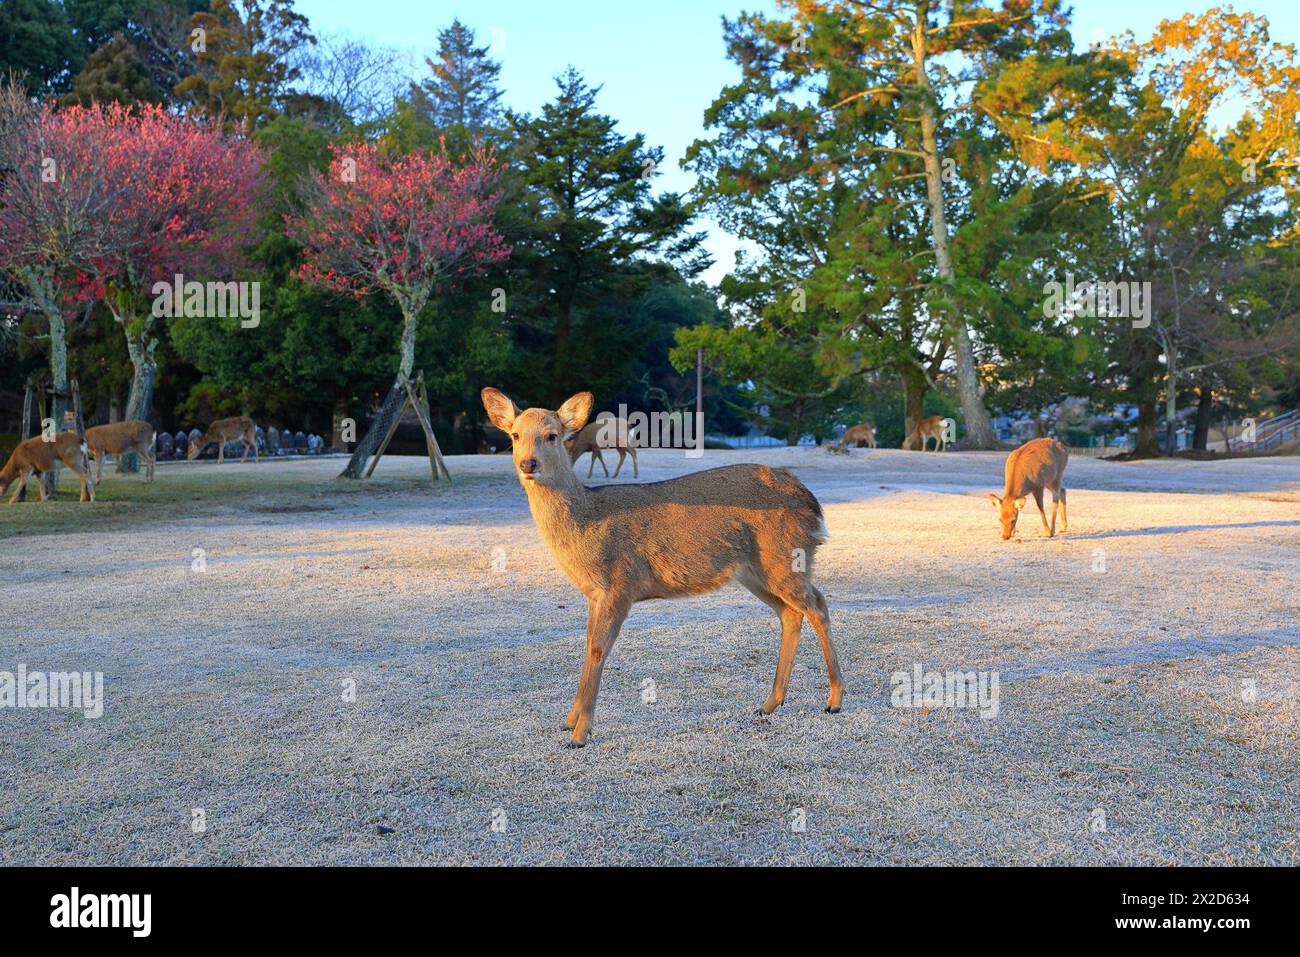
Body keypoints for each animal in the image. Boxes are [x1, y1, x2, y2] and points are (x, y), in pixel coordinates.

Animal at [481, 387, 844, 748]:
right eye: (515, 435)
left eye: (552, 435)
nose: (528, 463)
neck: (586, 524)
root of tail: (812, 504)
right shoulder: (593, 594)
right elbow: (587, 644)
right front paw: (568, 721)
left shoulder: (618, 585)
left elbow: (598, 649)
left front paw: (580, 734)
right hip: (756, 572)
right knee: (791, 613)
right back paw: (770, 703)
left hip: (786, 557)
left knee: (818, 605)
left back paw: (834, 700)